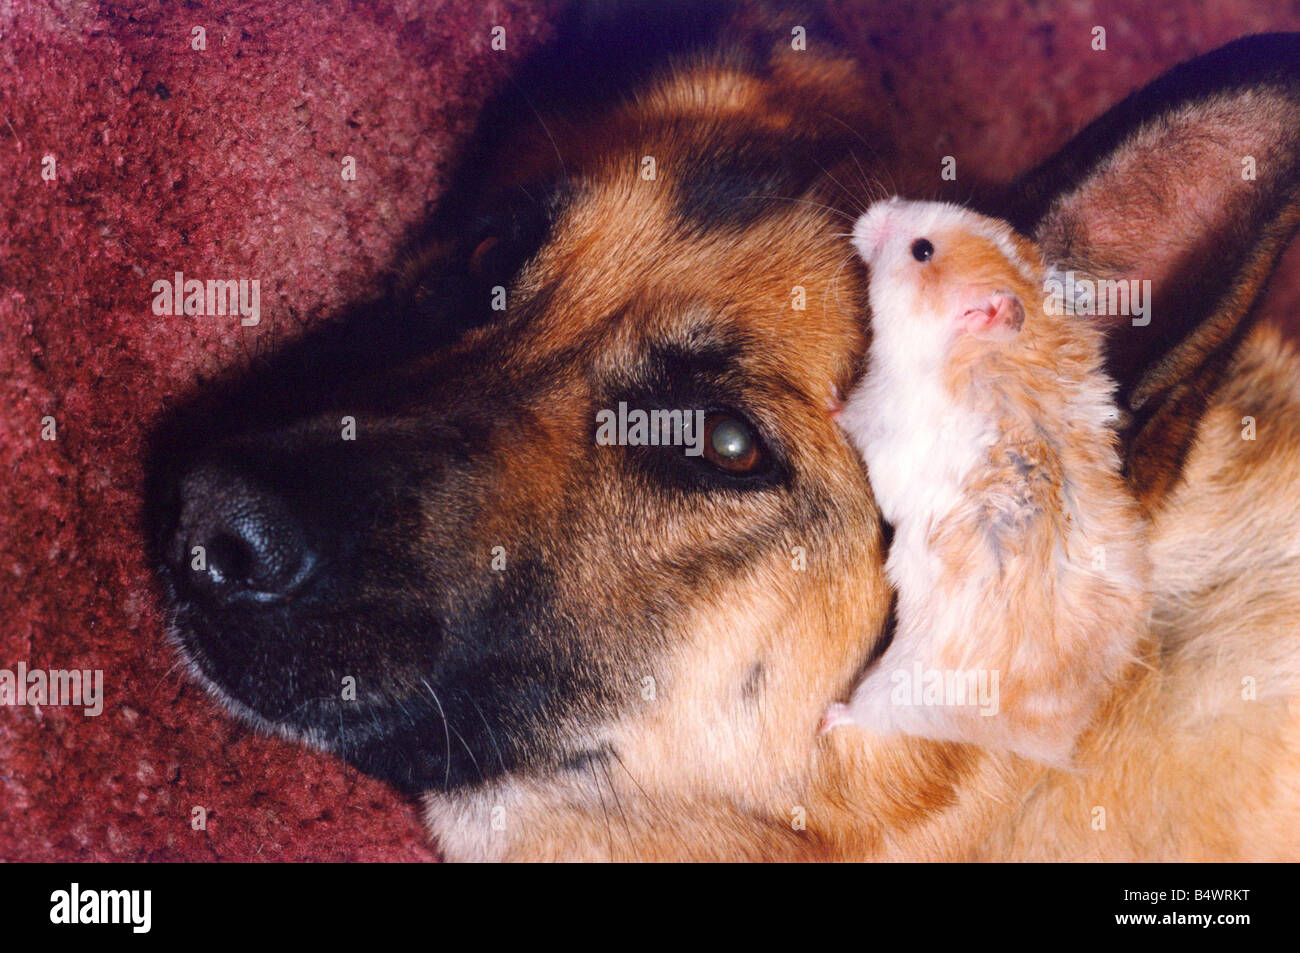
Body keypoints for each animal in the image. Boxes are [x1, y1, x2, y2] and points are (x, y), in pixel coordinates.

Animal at [824, 197, 1150, 765]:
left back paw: (827, 719)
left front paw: (825, 398)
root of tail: (1057, 739)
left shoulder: (878, 413)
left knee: (869, 715)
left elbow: (849, 416)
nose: (873, 210)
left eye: (922, 251)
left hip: (902, 681)